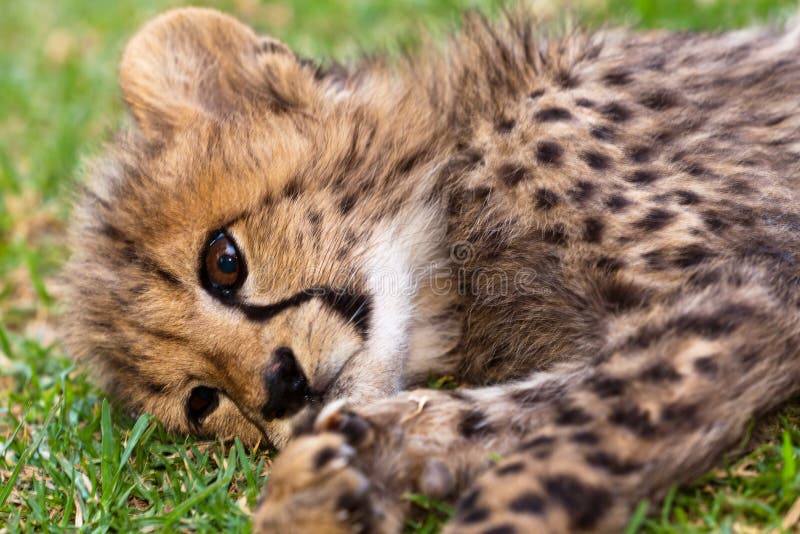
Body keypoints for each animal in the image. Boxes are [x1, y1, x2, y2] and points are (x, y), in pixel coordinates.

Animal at [61, 5, 800, 533]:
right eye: (202, 401)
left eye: (223, 261)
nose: (279, 388)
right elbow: (516, 406)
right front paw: (330, 482)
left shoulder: (750, 288)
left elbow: (586, 422)